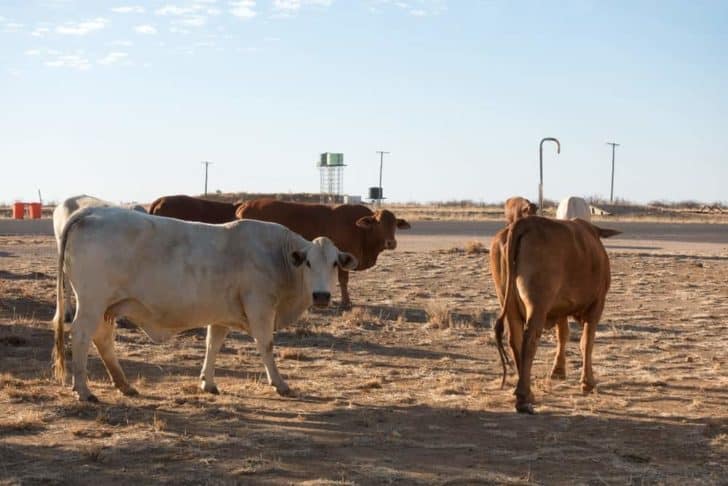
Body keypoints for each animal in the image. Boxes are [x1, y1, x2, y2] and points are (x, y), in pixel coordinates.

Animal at [236, 199, 411, 307]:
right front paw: (345, 302)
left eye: (395, 224)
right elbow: (343, 281)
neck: (361, 231)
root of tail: (245, 204)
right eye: (379, 222)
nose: (391, 242)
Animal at [489, 216, 620, 414]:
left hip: (508, 301)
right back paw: (523, 397)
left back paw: (527, 392)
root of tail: (523, 223)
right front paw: (587, 383)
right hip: (538, 305)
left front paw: (558, 370)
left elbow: (563, 335)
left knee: (515, 340)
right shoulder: (596, 305)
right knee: (529, 340)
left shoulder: (560, 310)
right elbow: (586, 342)